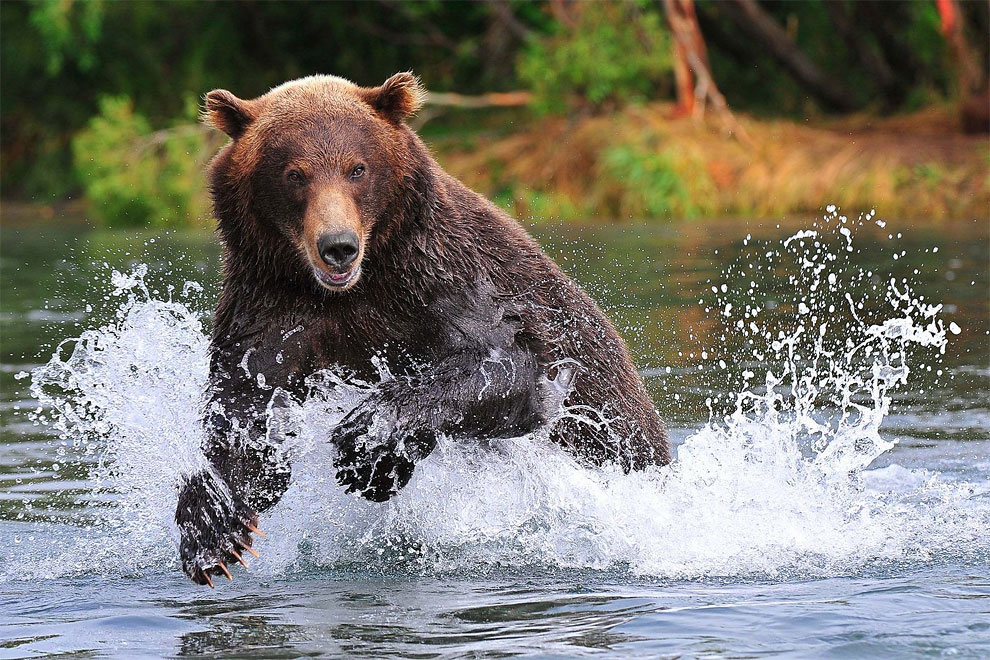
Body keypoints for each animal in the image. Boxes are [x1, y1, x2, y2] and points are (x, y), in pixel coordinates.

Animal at [175, 72, 671, 586]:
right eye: (296, 174)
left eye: (357, 168)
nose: (338, 247)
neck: (355, 287)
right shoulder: (272, 306)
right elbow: (245, 408)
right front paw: (213, 530)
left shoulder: (442, 278)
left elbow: (505, 363)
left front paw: (364, 444)